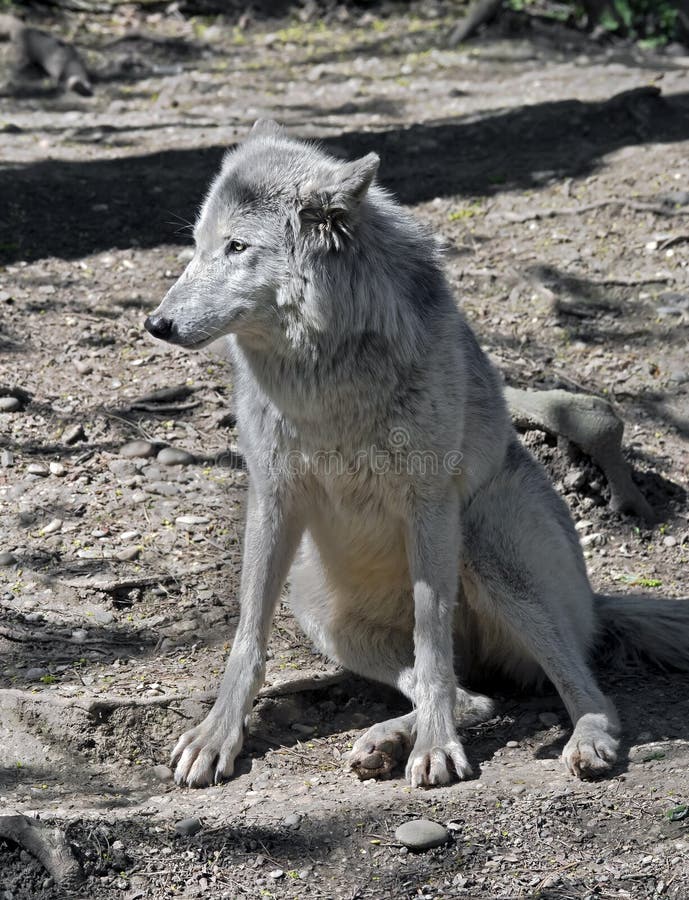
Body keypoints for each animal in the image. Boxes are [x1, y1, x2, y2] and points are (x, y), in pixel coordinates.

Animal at [145, 120, 689, 789]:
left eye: (237, 247)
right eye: (196, 247)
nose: (156, 324)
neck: (324, 379)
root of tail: (596, 602)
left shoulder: (427, 502)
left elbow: (431, 641)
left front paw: (435, 747)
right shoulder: (272, 494)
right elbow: (247, 637)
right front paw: (218, 735)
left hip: (482, 540)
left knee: (582, 690)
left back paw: (582, 739)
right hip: (316, 604)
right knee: (476, 694)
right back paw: (385, 739)